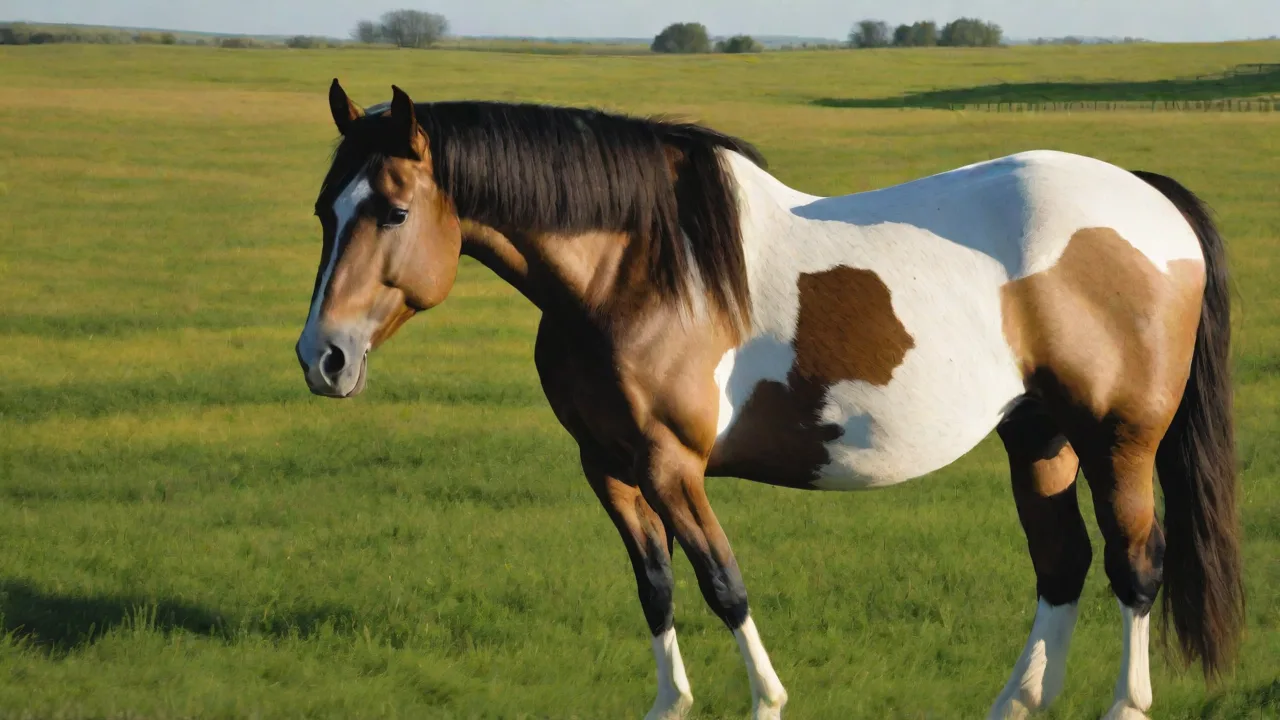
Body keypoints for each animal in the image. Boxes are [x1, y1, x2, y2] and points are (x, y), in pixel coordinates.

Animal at [295, 80, 1243, 720]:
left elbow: (723, 584)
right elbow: (655, 585)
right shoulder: (607, 467)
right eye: (324, 211)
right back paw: (1017, 701)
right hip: (1038, 436)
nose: (323, 357)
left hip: (1117, 440)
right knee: (1063, 564)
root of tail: (1152, 202)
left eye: (391, 211)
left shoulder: (672, 465)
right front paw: (670, 703)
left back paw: (1124, 702)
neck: (636, 269)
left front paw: (765, 700)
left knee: (1136, 563)